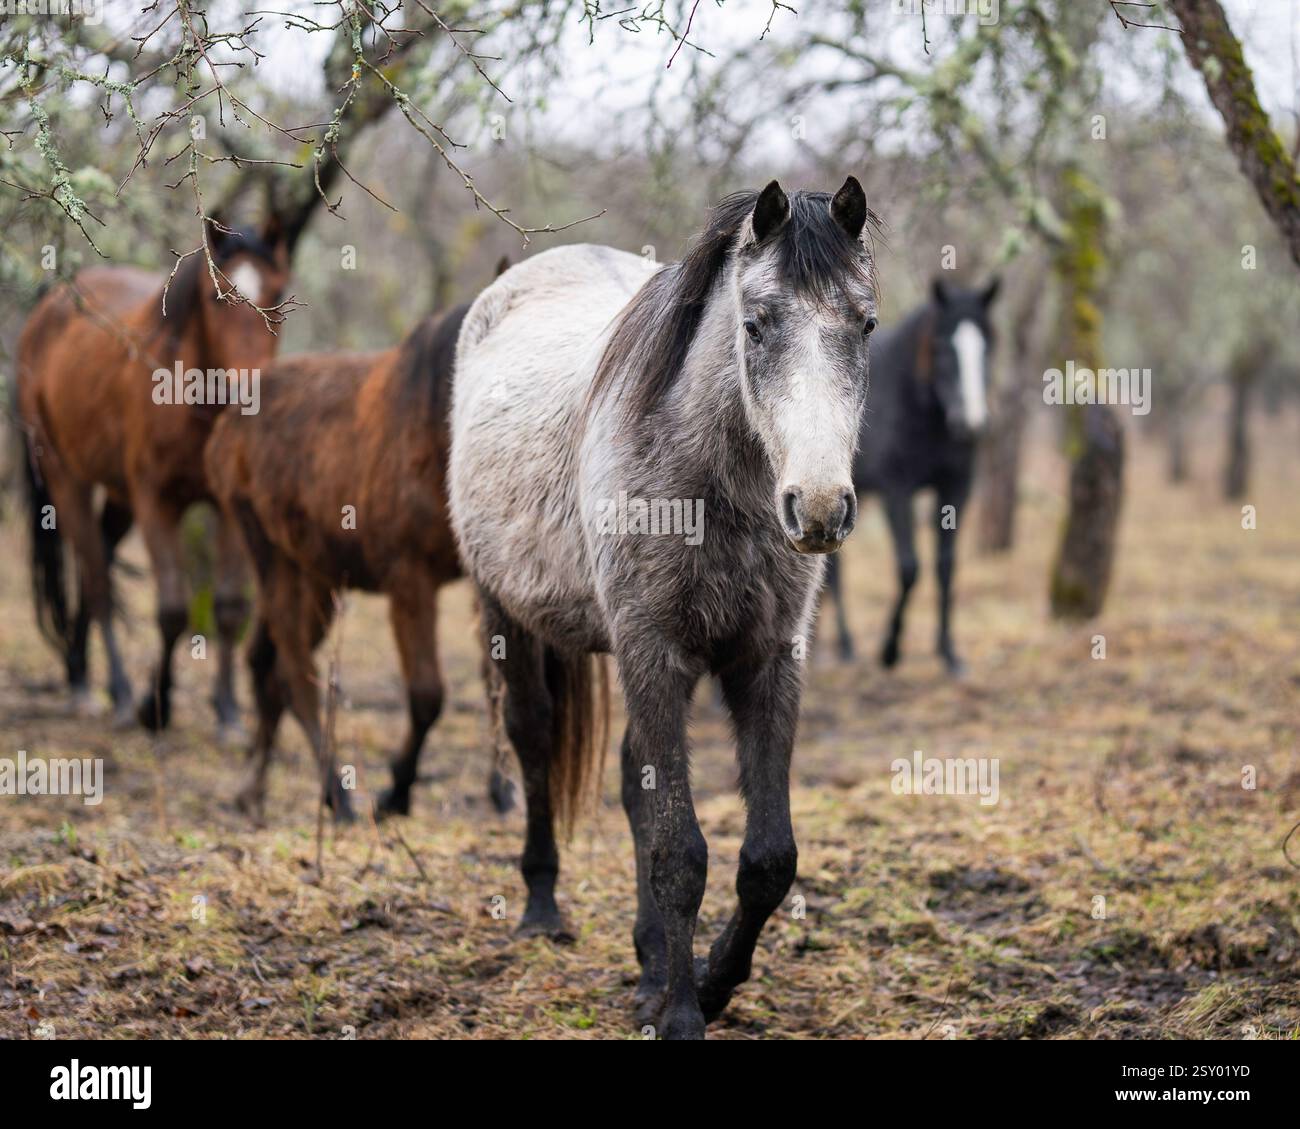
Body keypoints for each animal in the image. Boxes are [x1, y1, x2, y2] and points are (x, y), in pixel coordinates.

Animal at [16, 220, 290, 734]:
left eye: (278, 293)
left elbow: (228, 609)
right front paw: (153, 703)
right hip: (66, 477)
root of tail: (47, 308)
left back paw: (81, 673)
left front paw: (227, 712)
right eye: (216, 297)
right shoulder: (155, 501)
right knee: (97, 580)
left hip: (118, 499)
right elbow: (172, 610)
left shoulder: (226, 509)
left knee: (98, 567)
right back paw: (113, 693)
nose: (248, 391)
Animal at [206, 301, 492, 824]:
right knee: (294, 675)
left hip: (315, 577)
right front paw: (396, 792)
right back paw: (336, 795)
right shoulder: (408, 578)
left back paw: (253, 790)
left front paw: (503, 793)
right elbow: (427, 694)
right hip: (270, 556)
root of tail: (227, 424)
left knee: (265, 664)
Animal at [450, 178, 878, 1039]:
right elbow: (680, 853)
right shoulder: (654, 652)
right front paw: (683, 1013)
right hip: (507, 613)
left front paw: (707, 984)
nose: (819, 506)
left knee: (631, 781)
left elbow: (767, 858)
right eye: (755, 324)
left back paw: (649, 962)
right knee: (534, 739)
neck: (708, 481)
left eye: (867, 324)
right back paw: (542, 908)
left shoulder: (768, 660)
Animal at [822, 277, 1000, 674]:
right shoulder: (896, 492)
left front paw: (948, 653)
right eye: (943, 346)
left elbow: (946, 566)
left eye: (988, 347)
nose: (972, 424)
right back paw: (844, 645)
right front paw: (890, 650)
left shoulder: (955, 490)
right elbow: (909, 568)